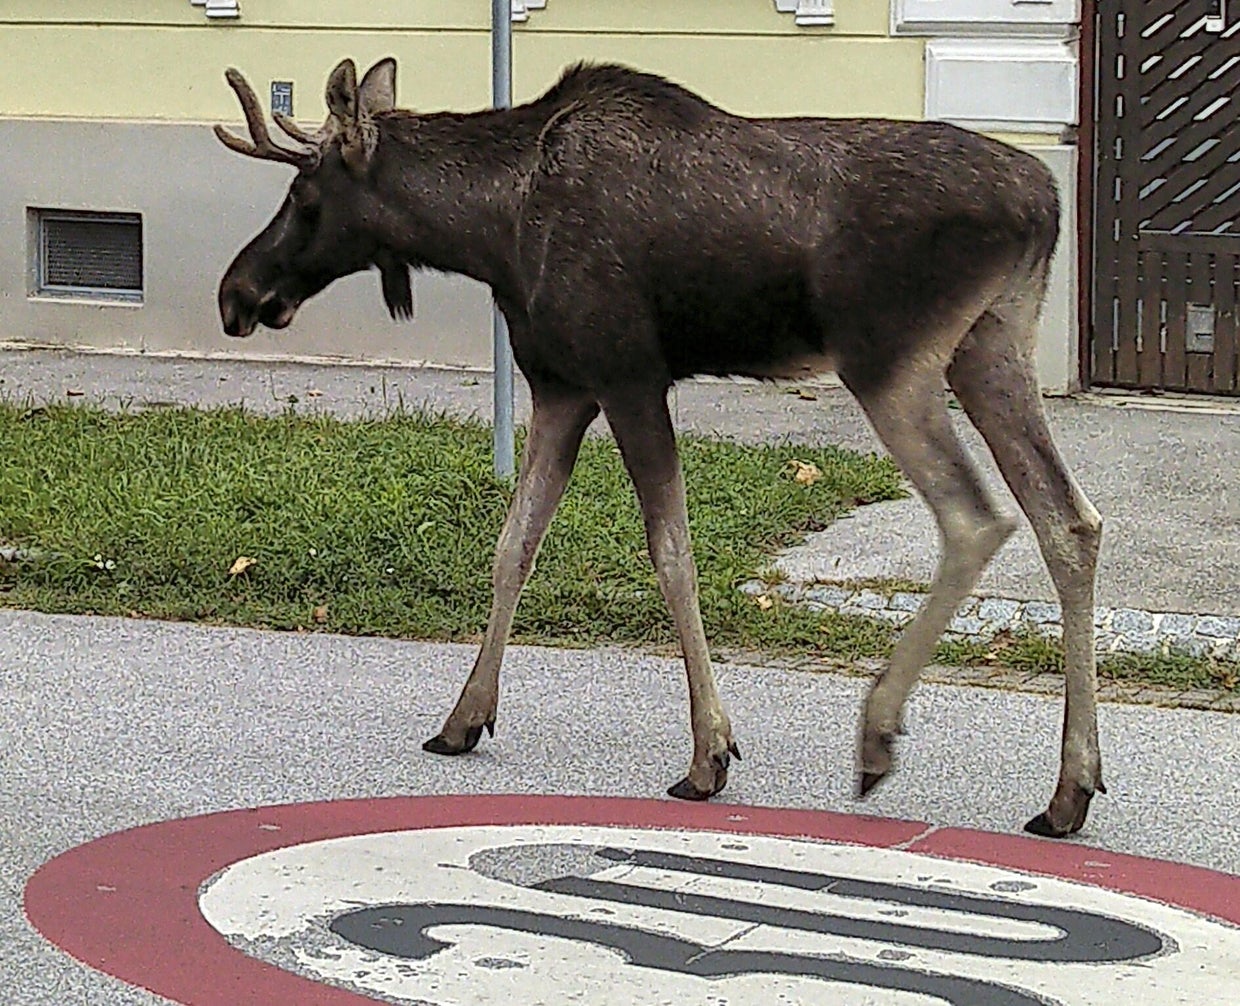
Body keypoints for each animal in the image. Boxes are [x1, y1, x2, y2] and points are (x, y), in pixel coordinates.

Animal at [215, 57, 1104, 838]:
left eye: (303, 195)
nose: (237, 293)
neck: (489, 233)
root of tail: (1050, 203)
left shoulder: (628, 375)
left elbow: (670, 551)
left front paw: (710, 753)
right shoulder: (562, 387)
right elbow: (513, 545)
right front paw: (464, 718)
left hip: (891, 359)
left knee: (977, 517)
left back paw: (880, 735)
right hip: (991, 344)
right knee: (1071, 520)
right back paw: (1069, 790)